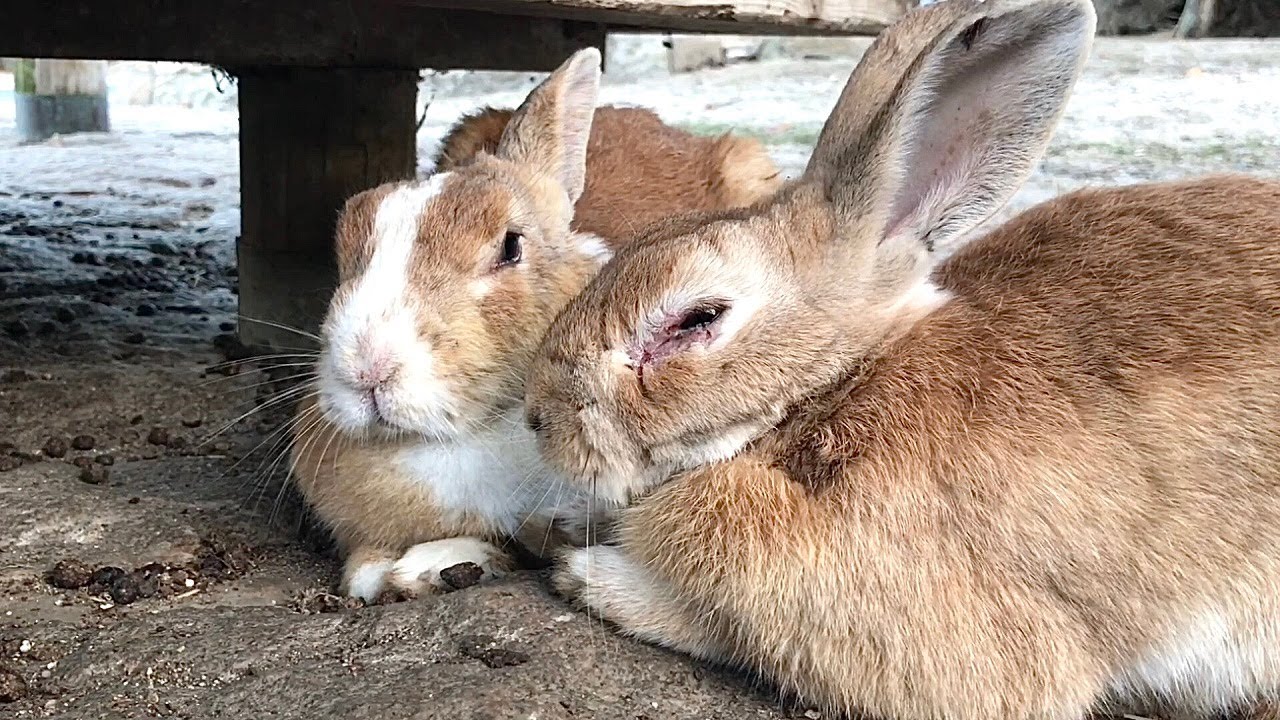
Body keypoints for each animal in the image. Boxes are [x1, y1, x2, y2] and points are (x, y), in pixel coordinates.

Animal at [287, 47, 784, 604]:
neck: (472, 436)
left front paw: (435, 565)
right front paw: (399, 573)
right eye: (343, 251)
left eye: (510, 246)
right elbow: (366, 567)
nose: (367, 369)